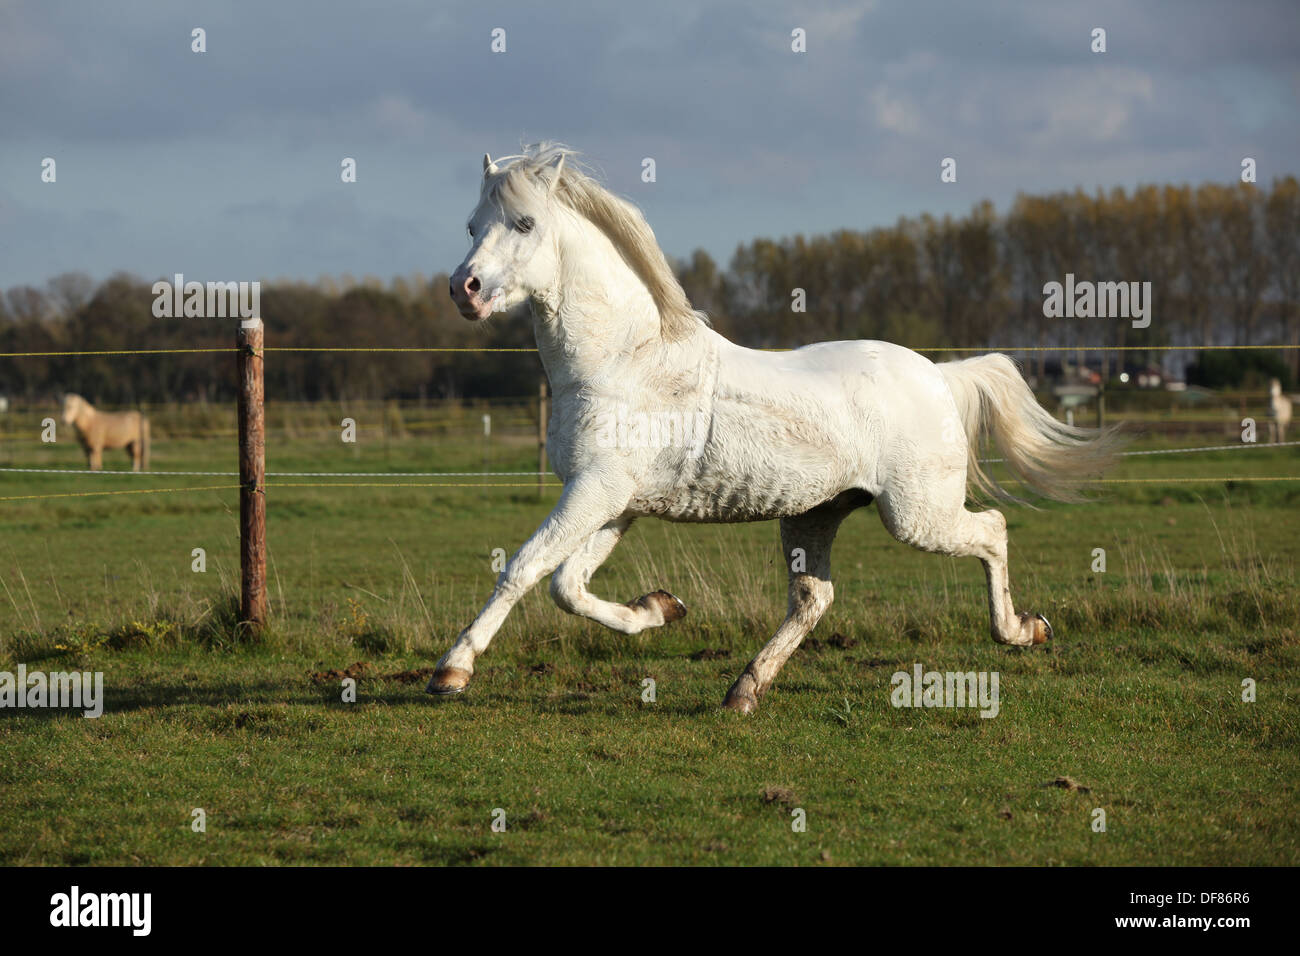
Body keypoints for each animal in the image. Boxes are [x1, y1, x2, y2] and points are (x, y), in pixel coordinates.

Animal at [427, 143, 1121, 714]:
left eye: (524, 223)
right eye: (470, 225)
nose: (464, 289)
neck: (626, 361)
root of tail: (940, 376)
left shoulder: (596, 492)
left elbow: (523, 569)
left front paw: (451, 672)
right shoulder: (614, 502)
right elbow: (567, 587)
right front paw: (662, 609)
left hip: (916, 516)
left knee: (992, 530)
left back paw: (1024, 630)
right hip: (815, 514)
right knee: (814, 599)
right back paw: (743, 691)